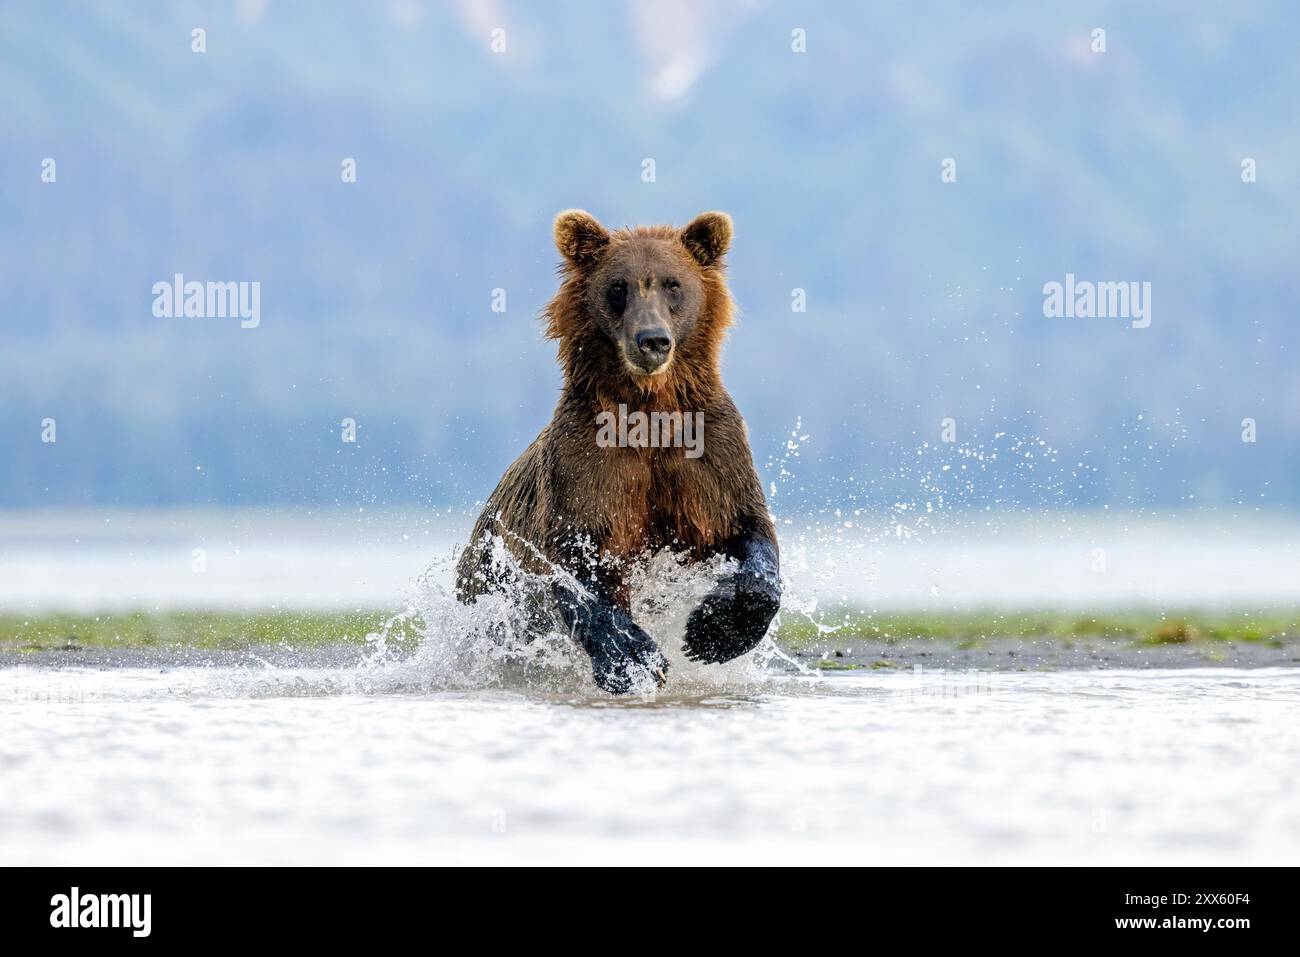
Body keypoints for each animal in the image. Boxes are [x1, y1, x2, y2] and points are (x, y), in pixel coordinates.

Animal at [455, 210, 780, 694]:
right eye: (617, 287)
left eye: (673, 284)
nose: (652, 340)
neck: (649, 411)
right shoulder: (586, 464)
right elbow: (578, 561)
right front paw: (633, 656)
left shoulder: (710, 452)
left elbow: (747, 529)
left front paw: (711, 633)